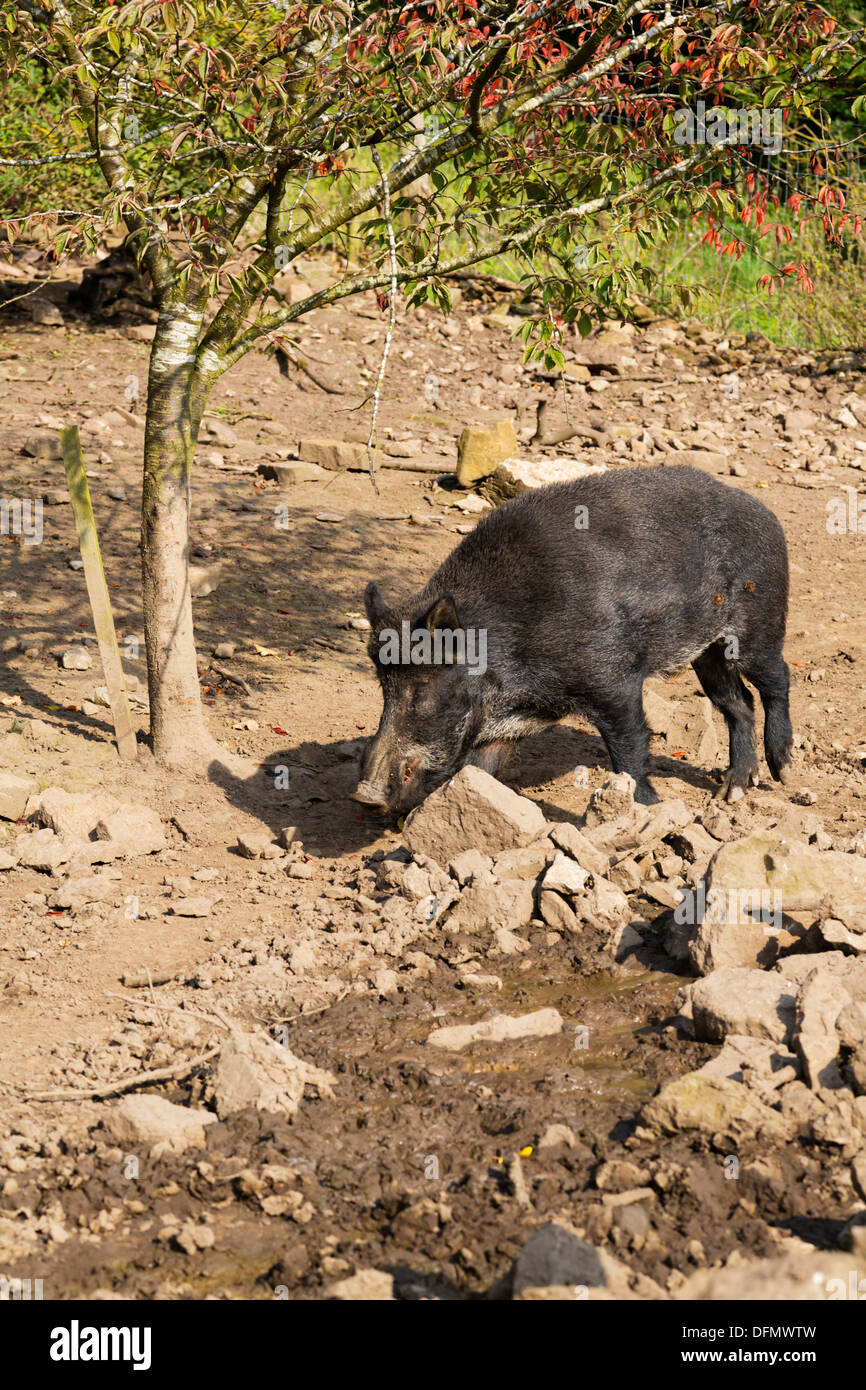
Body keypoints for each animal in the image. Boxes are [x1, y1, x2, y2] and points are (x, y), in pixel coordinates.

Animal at [352, 465, 793, 814]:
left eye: (423, 687)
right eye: (383, 688)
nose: (363, 796)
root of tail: (767, 513)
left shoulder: (613, 679)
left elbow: (630, 748)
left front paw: (645, 810)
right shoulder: (501, 725)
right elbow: (478, 771)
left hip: (759, 624)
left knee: (777, 678)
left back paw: (782, 770)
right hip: (705, 652)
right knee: (737, 701)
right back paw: (733, 791)